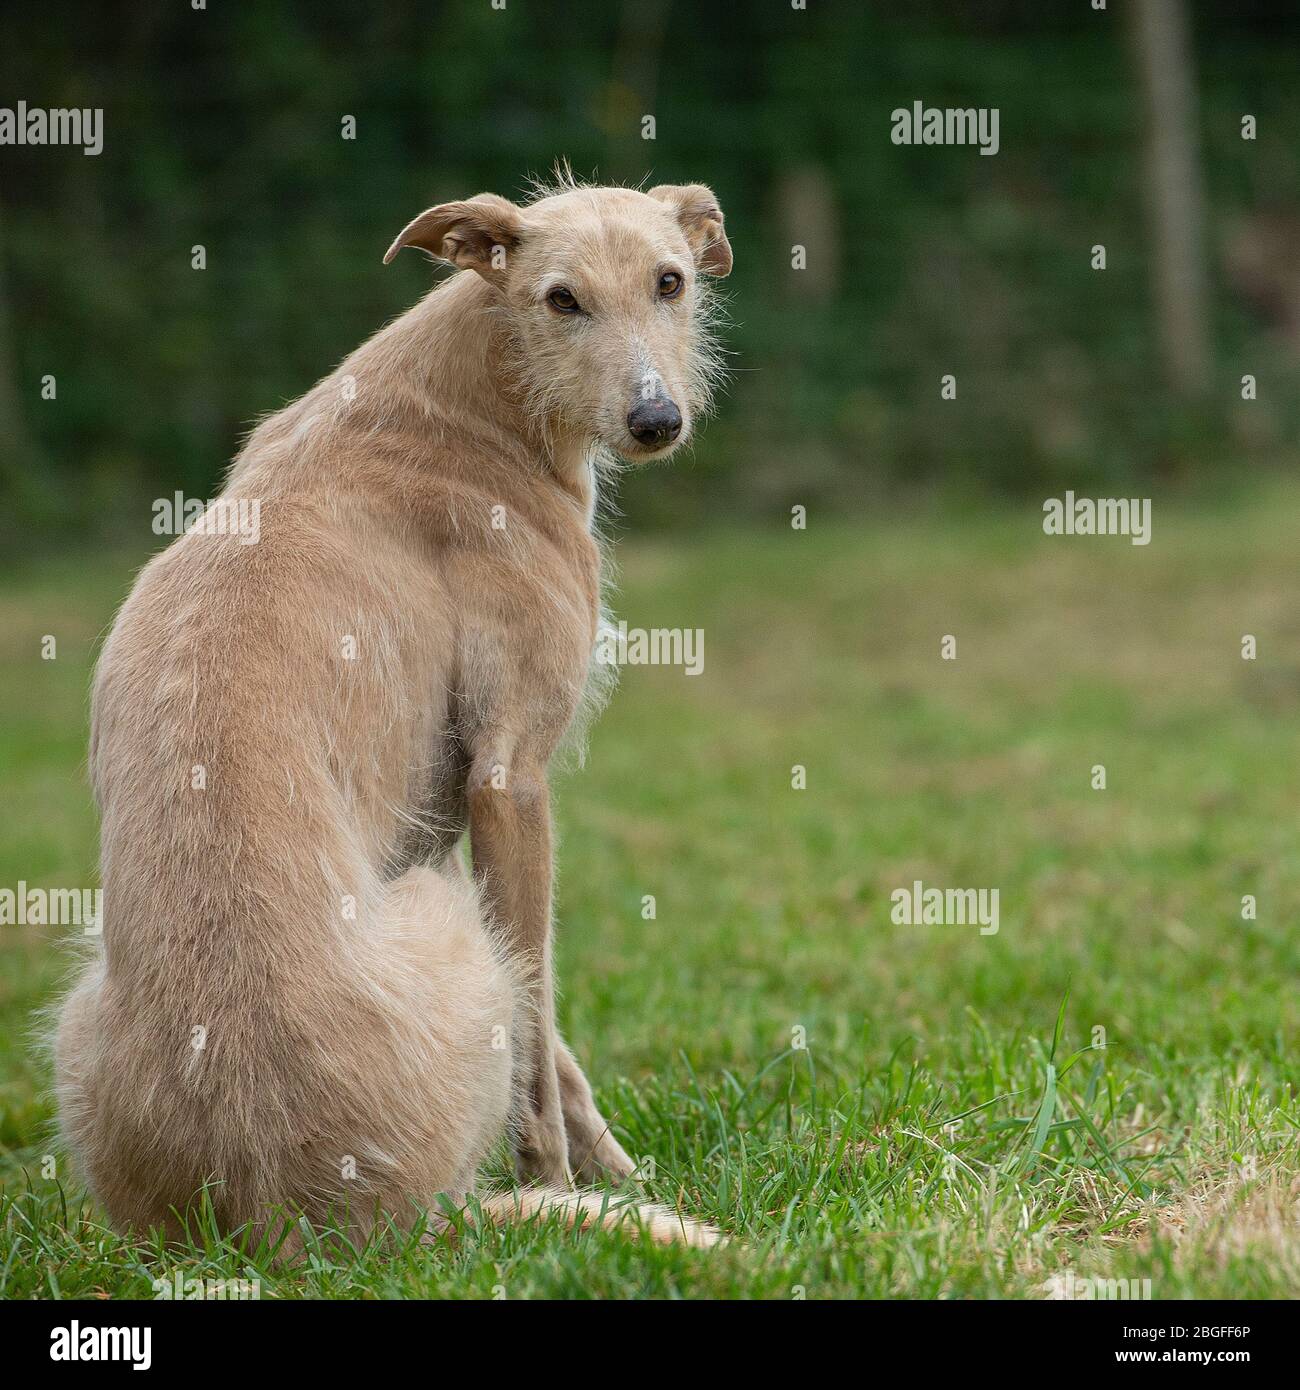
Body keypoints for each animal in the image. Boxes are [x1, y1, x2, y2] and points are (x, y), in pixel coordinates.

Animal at [50, 173, 734, 1251]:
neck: (475, 394)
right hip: (445, 923)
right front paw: (569, 1184)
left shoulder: (438, 817)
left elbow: (552, 1041)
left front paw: (614, 1175)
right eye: (561, 299)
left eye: (670, 281)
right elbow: (539, 1018)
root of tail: (294, 1222)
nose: (655, 421)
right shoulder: (509, 782)